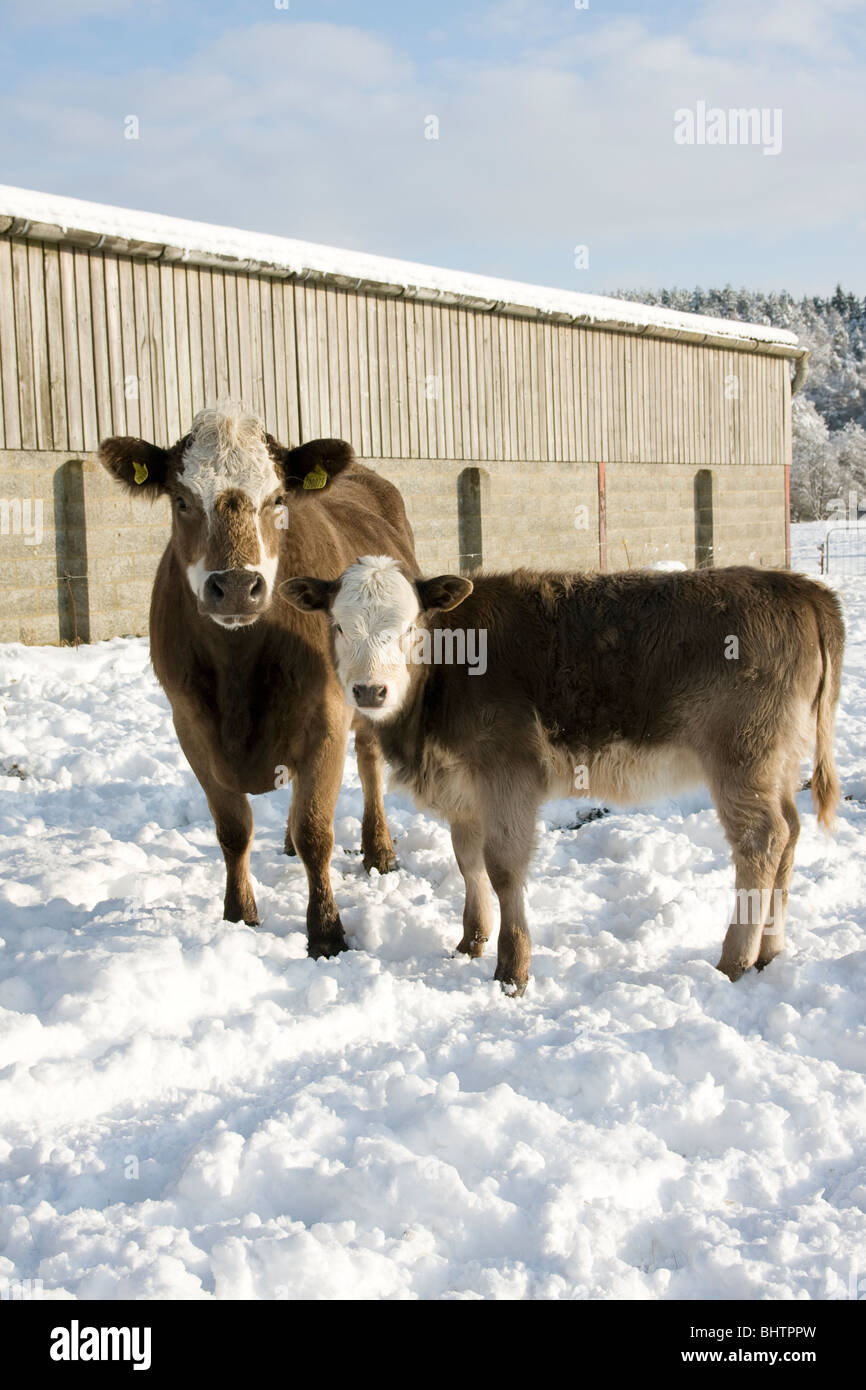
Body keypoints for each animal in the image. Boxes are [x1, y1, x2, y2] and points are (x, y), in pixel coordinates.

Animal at [99, 406, 416, 959]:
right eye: (181, 501)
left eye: (277, 500)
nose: (235, 588)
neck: (238, 668)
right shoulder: (190, 726)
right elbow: (233, 829)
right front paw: (239, 915)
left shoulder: (327, 719)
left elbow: (316, 830)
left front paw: (326, 932)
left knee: (369, 762)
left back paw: (379, 849)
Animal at [282, 556, 845, 995]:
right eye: (339, 626)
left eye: (407, 628)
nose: (370, 691)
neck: (449, 670)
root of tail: (802, 589)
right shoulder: (462, 788)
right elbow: (468, 863)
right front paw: (471, 941)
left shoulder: (507, 774)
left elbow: (503, 867)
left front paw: (512, 969)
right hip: (775, 761)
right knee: (790, 834)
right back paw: (770, 950)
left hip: (742, 757)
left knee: (761, 842)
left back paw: (734, 959)